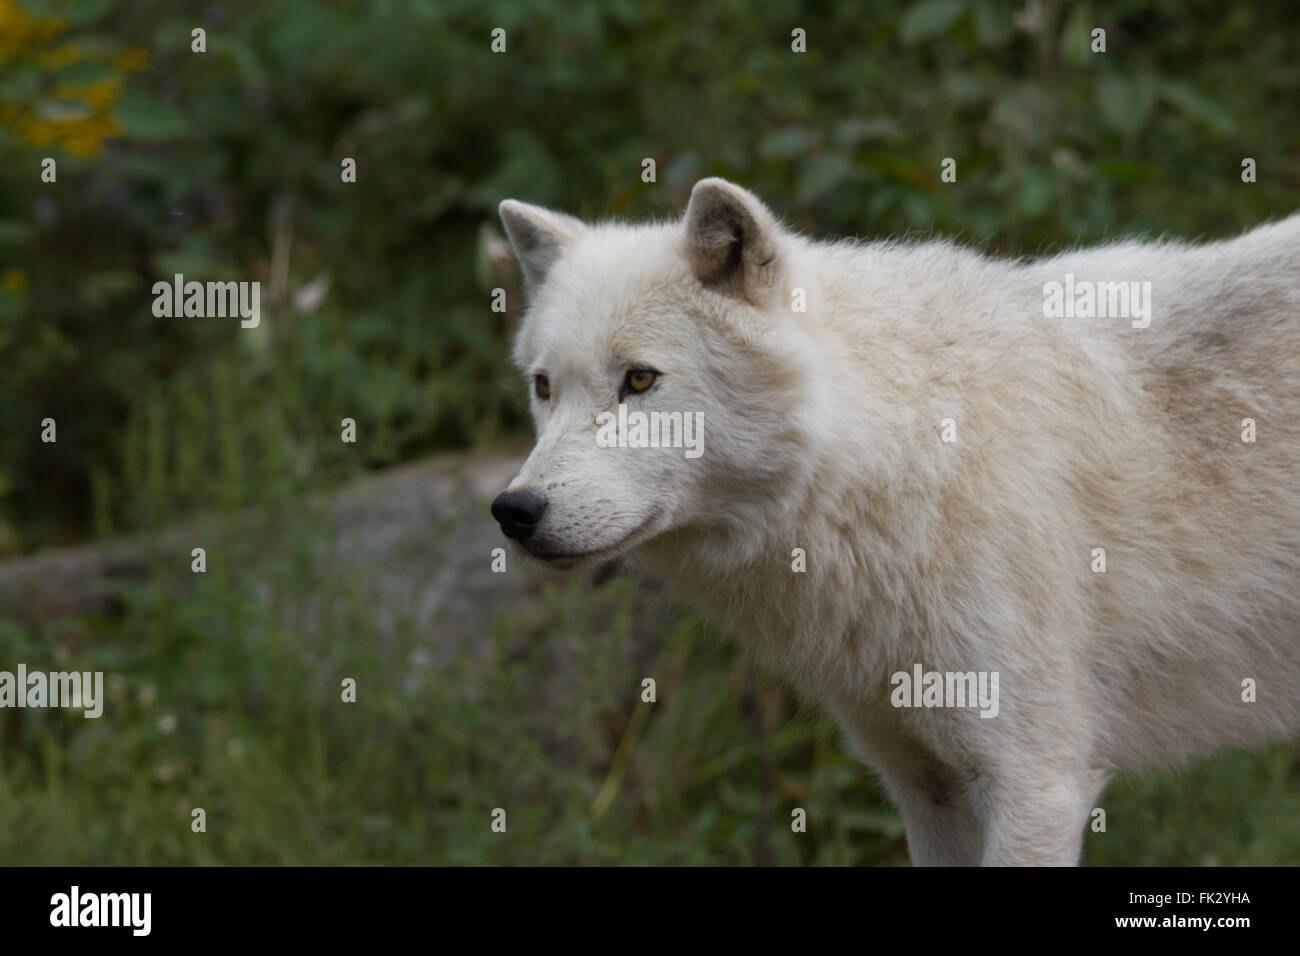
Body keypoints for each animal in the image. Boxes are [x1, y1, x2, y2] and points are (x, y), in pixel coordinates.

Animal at [492, 178, 1300, 865]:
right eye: (543, 387)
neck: (910, 460)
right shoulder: (926, 784)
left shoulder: (1037, 784)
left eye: (639, 380)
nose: (513, 511)